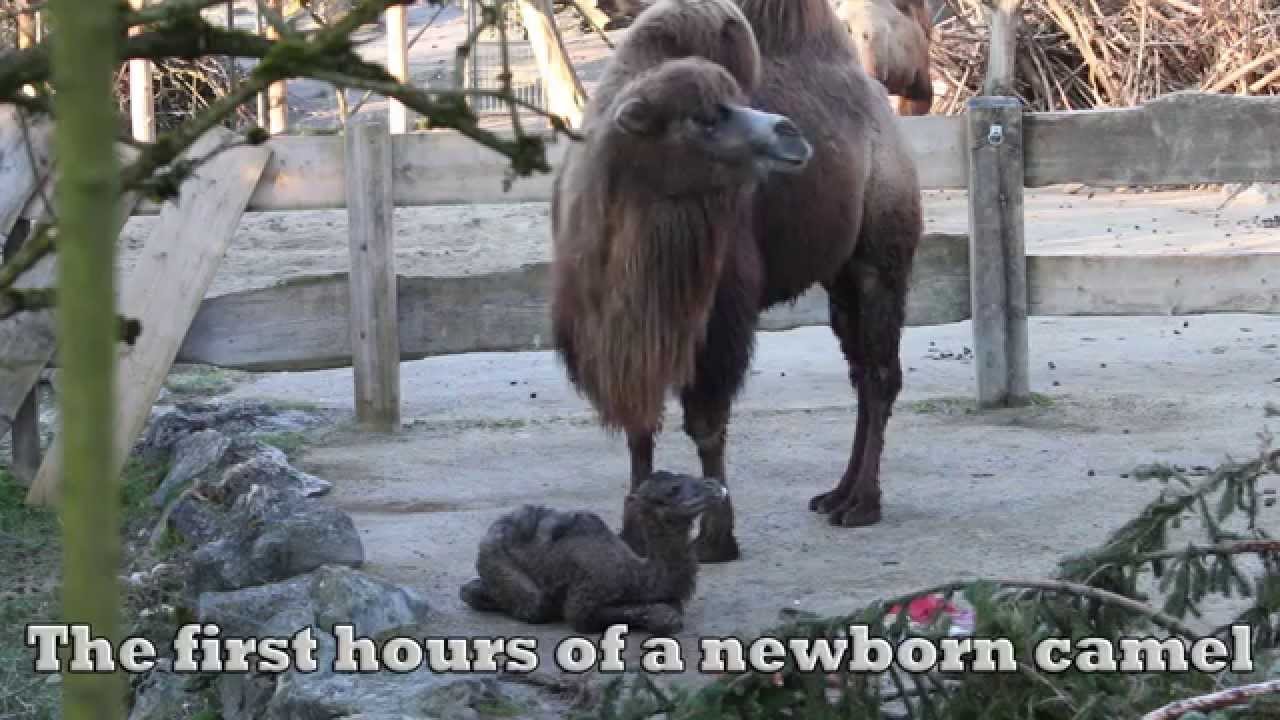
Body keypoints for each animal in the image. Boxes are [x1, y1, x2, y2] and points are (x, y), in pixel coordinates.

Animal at [459, 472, 729, 634]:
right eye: (673, 489)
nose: (715, 485)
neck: (637, 578)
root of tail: (494, 527)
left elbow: (673, 609)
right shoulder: (585, 600)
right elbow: (662, 617)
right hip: (494, 555)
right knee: (534, 604)